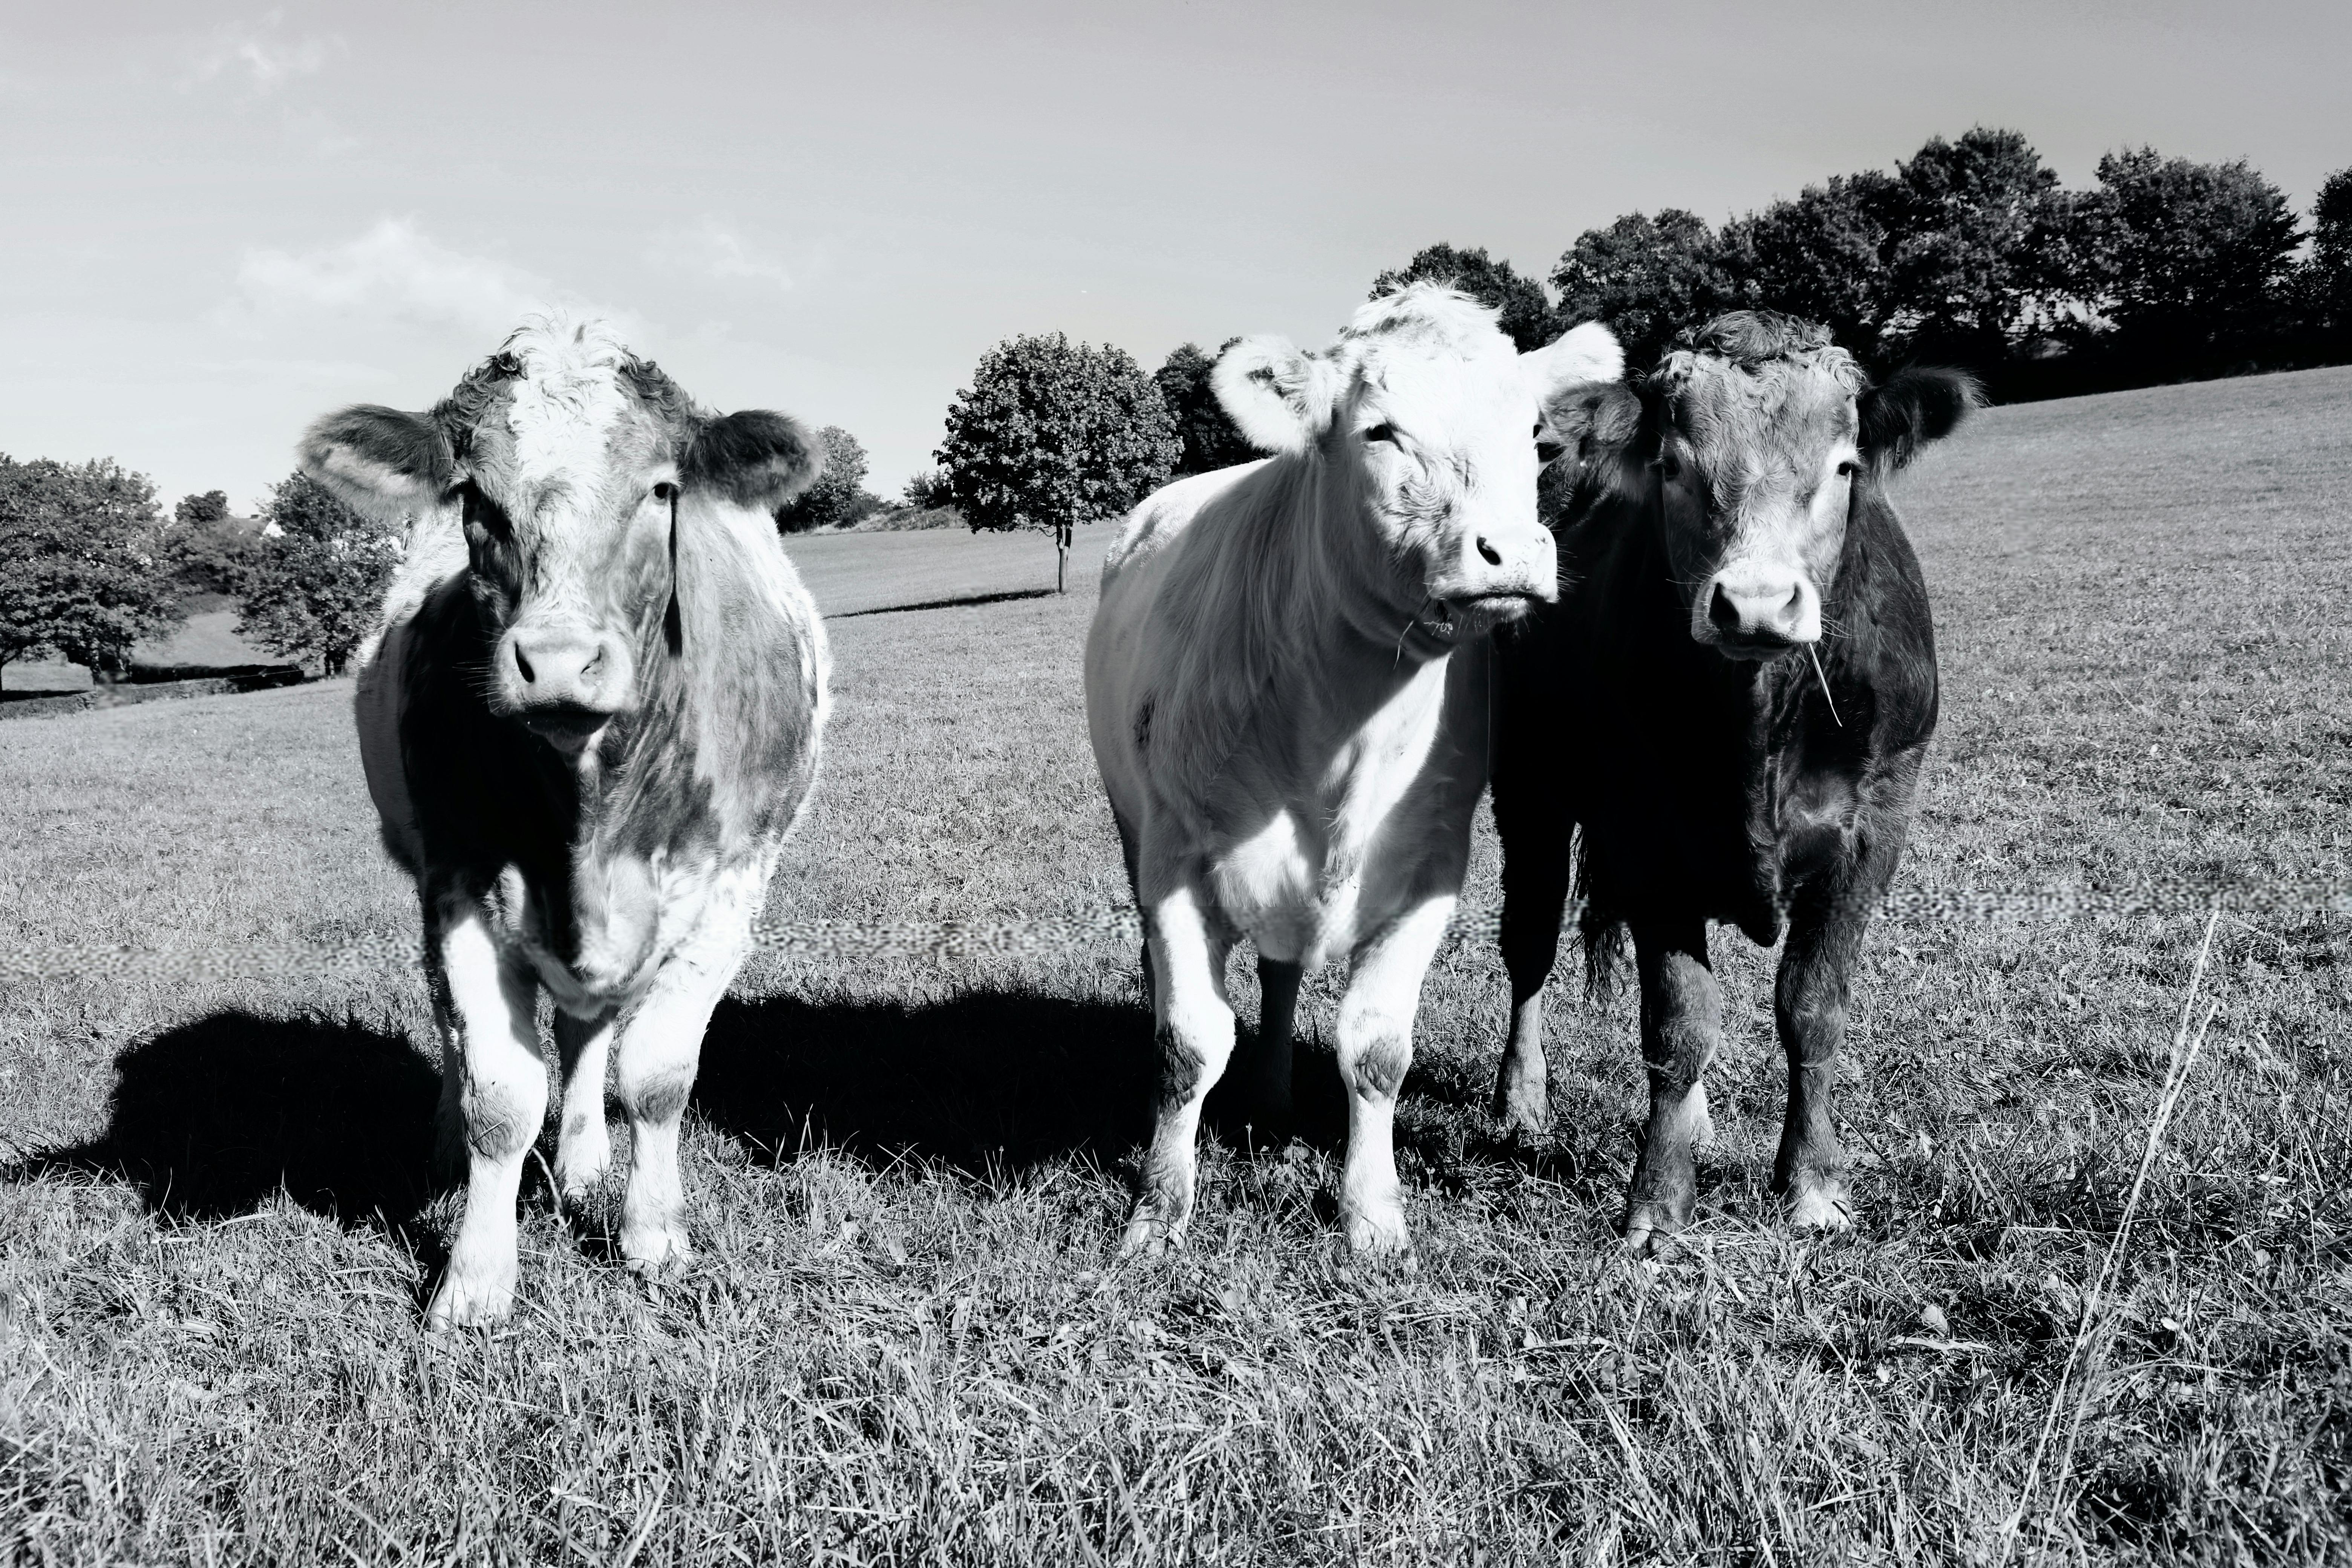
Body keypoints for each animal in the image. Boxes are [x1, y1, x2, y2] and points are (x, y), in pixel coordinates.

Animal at [299, 316, 830, 1328]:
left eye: (660, 488)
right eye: (475, 496)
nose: (553, 662)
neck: (590, 813)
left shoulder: (729, 889)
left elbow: (655, 1078)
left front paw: (652, 1237)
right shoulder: (460, 883)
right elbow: (501, 1095)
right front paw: (474, 1281)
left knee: (589, 1036)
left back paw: (584, 1163)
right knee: (457, 1030)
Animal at [1086, 285, 1621, 1255]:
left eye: (1534, 436)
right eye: (1380, 430)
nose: (1511, 551)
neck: (1342, 727)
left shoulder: (1431, 867)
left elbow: (1375, 1050)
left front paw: (1372, 1219)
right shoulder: (1177, 858)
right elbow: (1188, 1043)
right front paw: (1156, 1213)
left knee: (1281, 972)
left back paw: (1270, 1094)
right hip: (1129, 822)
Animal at [1489, 310, 1977, 1254]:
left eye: (1845, 465)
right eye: (1673, 465)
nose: (1753, 604)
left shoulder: (1875, 831)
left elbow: (1811, 1008)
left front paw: (1813, 1185)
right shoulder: (1642, 834)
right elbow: (1679, 1024)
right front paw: (1658, 1204)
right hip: (1527, 789)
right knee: (1528, 946)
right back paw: (1522, 1100)